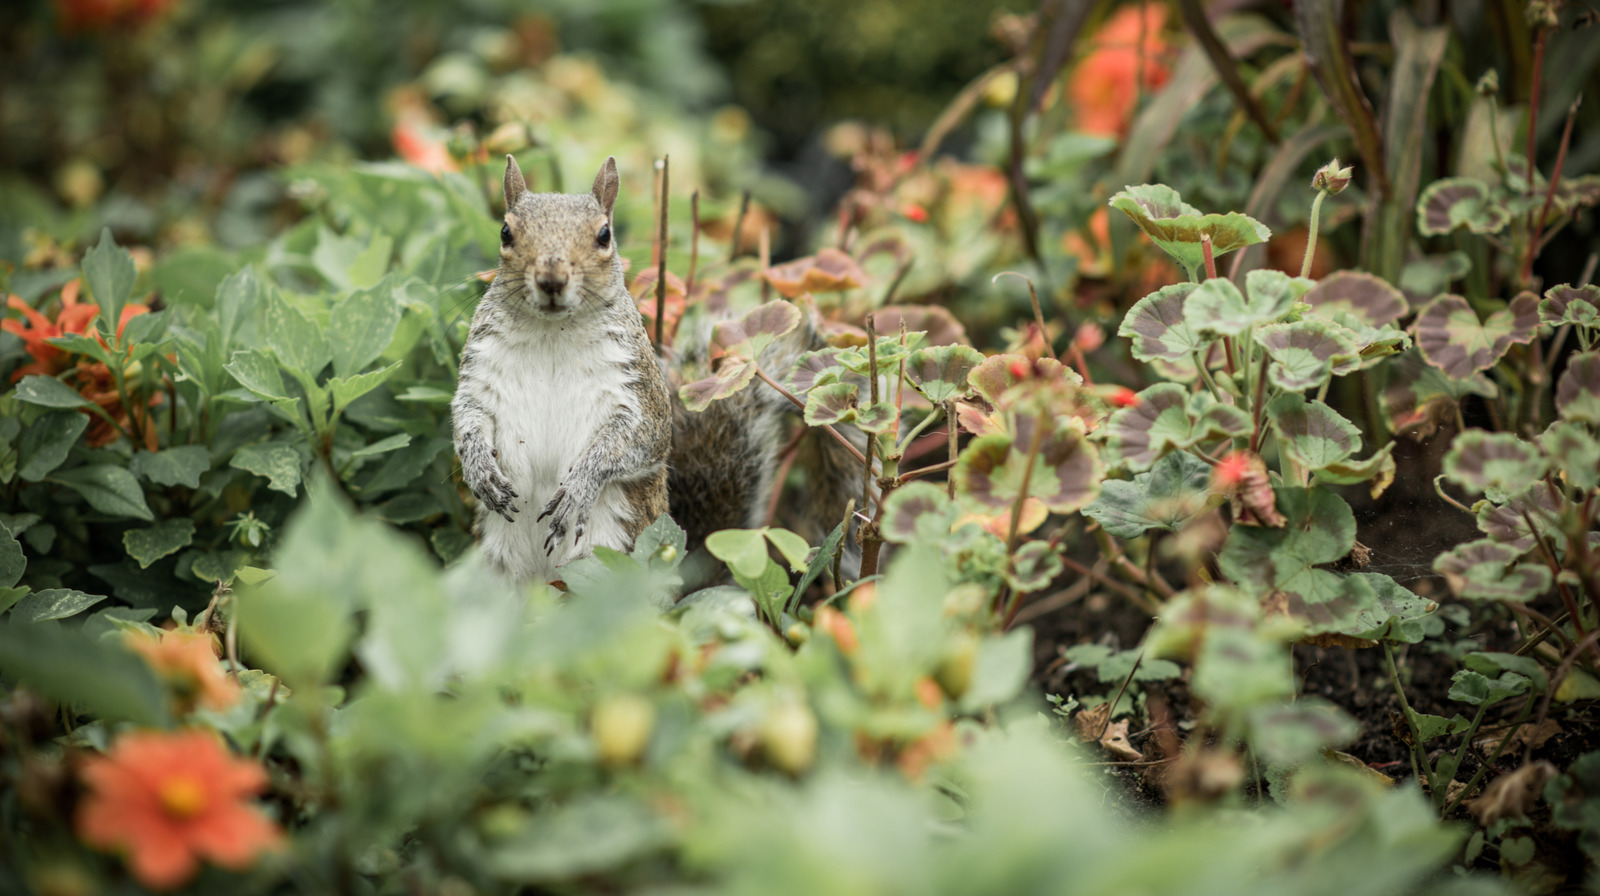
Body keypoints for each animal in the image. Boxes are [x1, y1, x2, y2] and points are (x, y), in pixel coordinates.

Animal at [452, 155, 861, 584]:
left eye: (604, 235)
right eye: (505, 232)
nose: (551, 279)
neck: (552, 331)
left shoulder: (638, 388)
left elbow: (640, 439)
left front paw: (580, 486)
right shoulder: (481, 371)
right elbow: (467, 418)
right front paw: (479, 468)